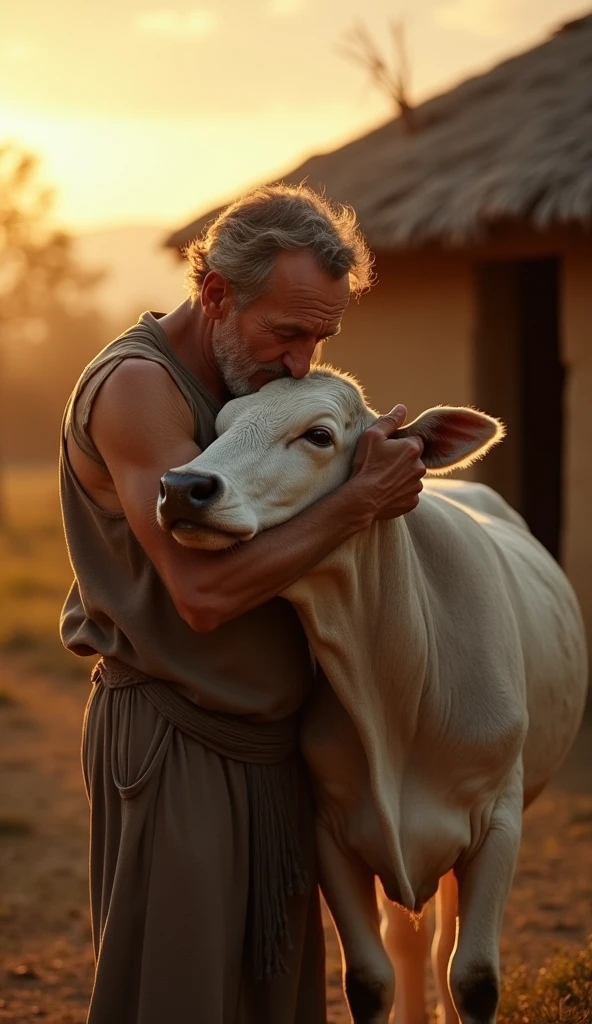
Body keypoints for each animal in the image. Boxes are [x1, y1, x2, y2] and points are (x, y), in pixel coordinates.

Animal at [156, 368, 588, 1024]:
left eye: (318, 435)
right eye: (221, 424)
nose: (183, 487)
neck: (395, 688)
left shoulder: (499, 820)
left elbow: (473, 978)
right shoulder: (332, 828)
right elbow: (370, 977)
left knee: (440, 946)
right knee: (410, 943)